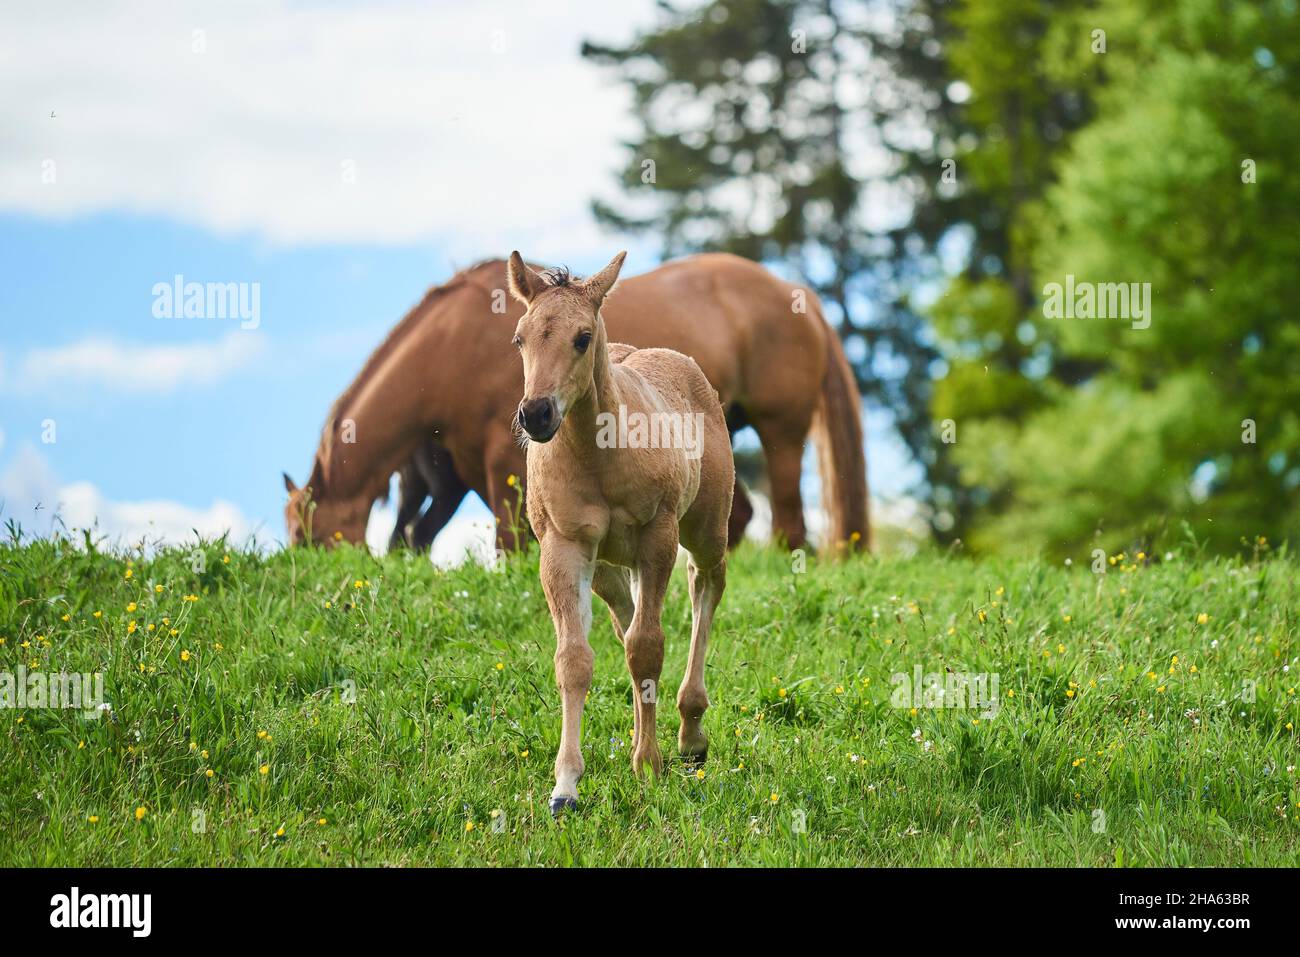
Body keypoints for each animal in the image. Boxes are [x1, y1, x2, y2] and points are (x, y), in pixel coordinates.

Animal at [284, 254, 868, 553]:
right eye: (518, 339)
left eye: (308, 538)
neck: (454, 344)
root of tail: (797, 294)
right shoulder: (463, 474)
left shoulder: (501, 464)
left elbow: (508, 544)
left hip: (781, 432)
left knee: (790, 524)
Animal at [509, 250, 733, 813]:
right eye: (520, 338)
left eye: (582, 337)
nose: (536, 414)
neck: (600, 456)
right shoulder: (562, 548)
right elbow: (574, 659)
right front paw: (565, 787)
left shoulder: (658, 535)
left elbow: (647, 647)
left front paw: (649, 767)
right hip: (611, 569)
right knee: (626, 618)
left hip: (703, 530)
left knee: (705, 585)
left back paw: (690, 734)